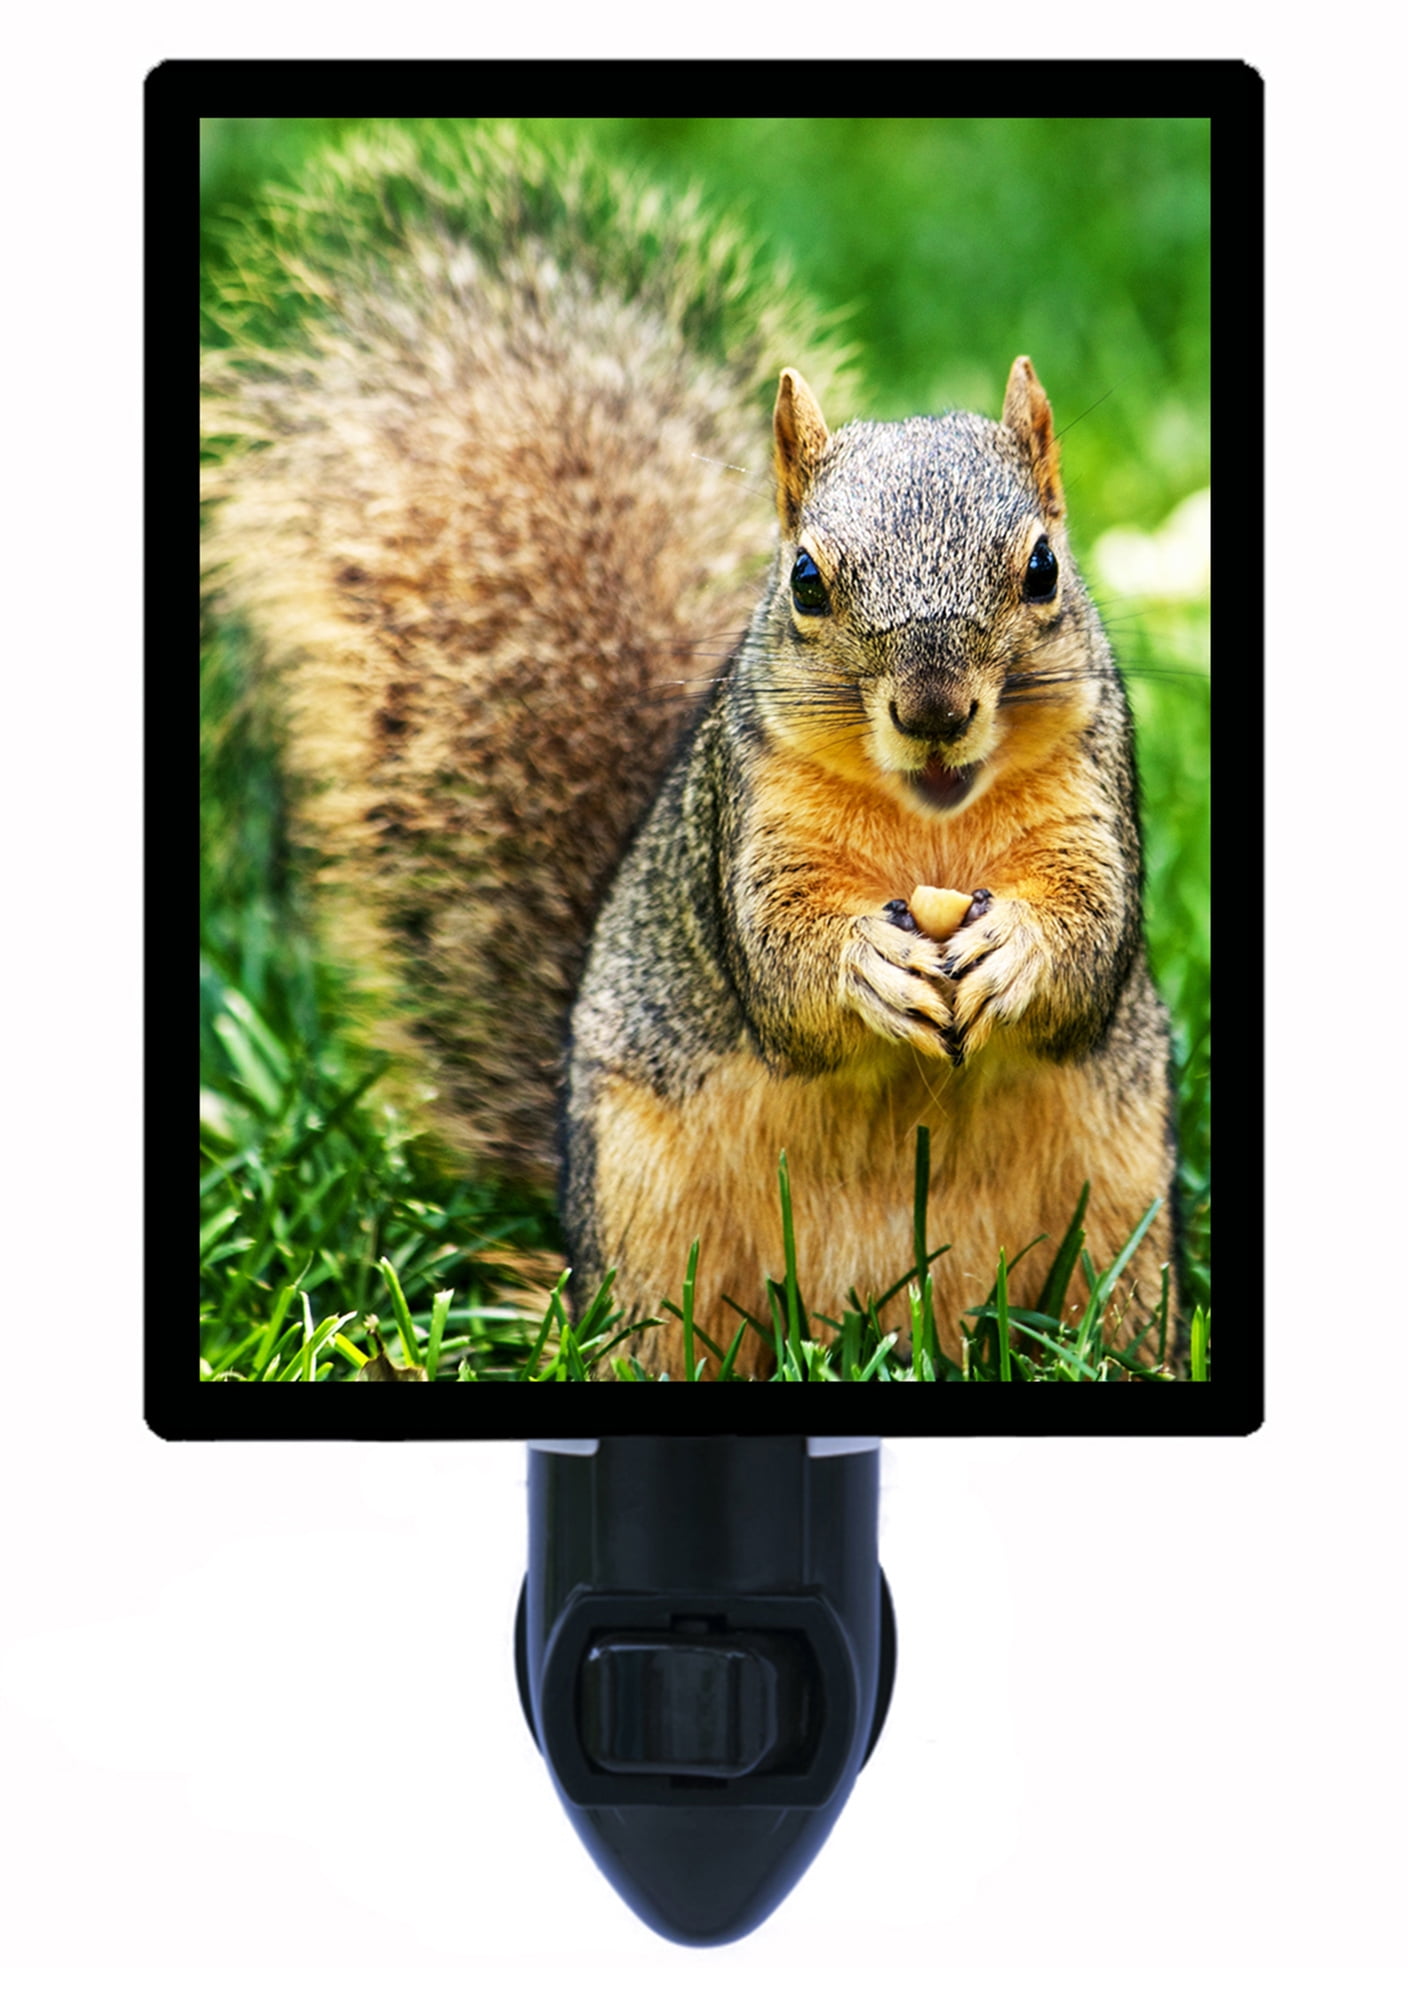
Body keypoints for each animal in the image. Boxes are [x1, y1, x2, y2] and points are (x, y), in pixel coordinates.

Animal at [202, 124, 1178, 1380]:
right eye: (805, 579)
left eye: (1044, 567)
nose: (933, 708)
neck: (932, 821)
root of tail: (878, 1317)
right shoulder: (746, 821)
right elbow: (780, 963)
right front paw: (865, 963)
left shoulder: (1095, 803)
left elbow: (1087, 942)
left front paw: (1012, 949)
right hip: (649, 1203)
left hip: (1123, 1205)